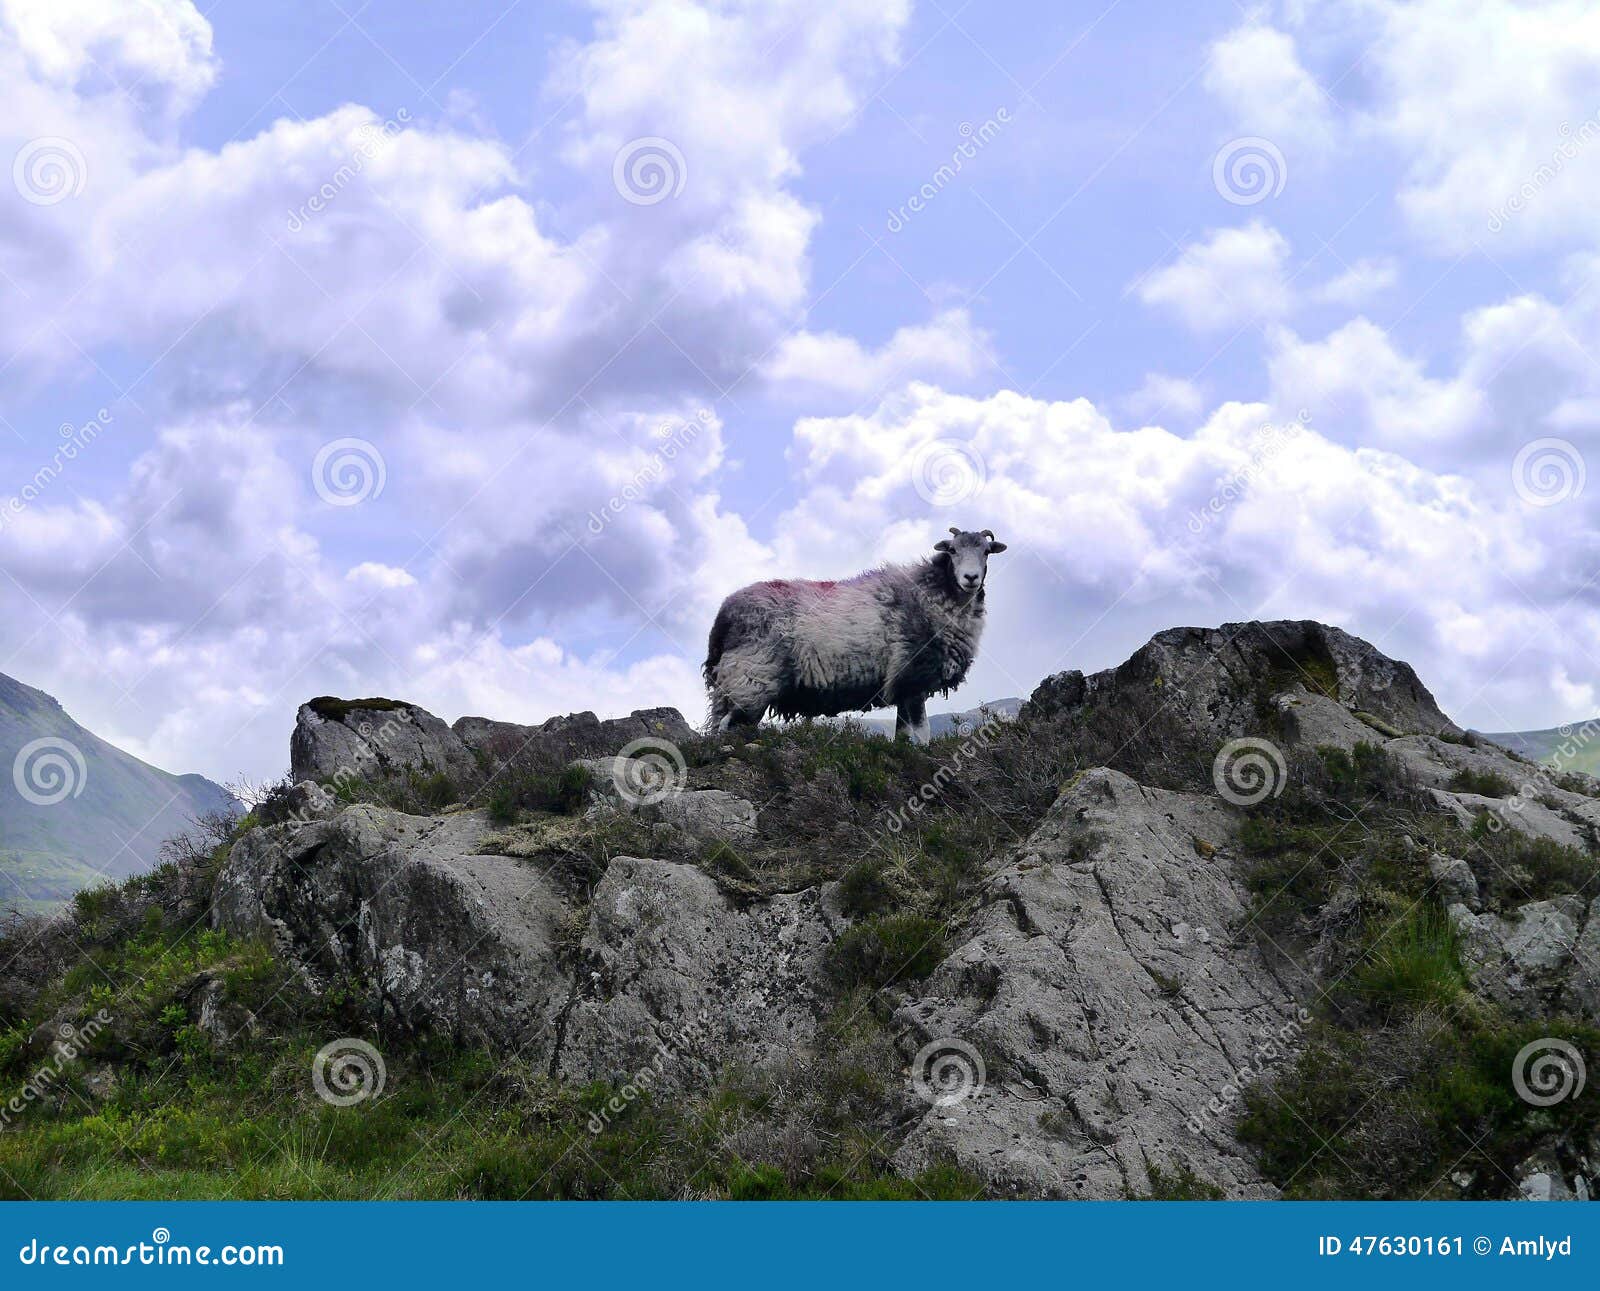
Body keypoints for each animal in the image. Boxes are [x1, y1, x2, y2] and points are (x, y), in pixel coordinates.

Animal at [702, 527, 1007, 745]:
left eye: (986, 552)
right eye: (953, 550)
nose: (970, 578)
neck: (936, 594)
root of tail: (723, 615)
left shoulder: (903, 685)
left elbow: (903, 735)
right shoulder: (912, 675)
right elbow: (922, 734)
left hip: (732, 685)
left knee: (719, 723)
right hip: (750, 679)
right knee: (727, 727)